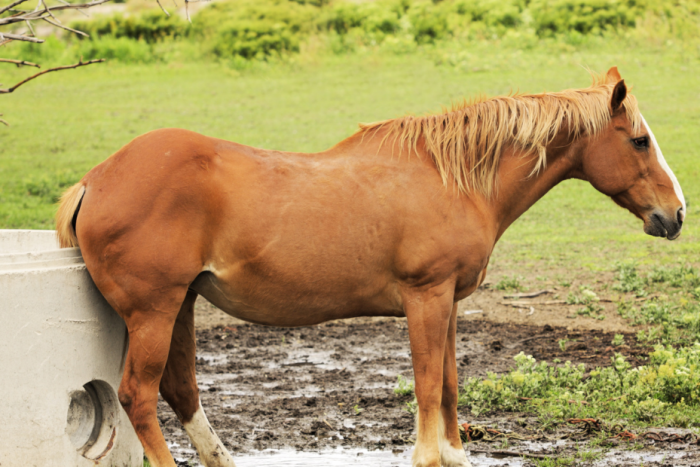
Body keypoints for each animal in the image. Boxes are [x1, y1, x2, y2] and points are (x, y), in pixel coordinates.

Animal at [55, 66, 685, 467]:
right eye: (639, 140)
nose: (676, 214)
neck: (451, 179)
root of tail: (95, 180)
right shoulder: (425, 297)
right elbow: (429, 389)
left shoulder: (448, 303)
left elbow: (450, 387)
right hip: (156, 311)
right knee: (139, 394)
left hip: (180, 304)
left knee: (179, 388)